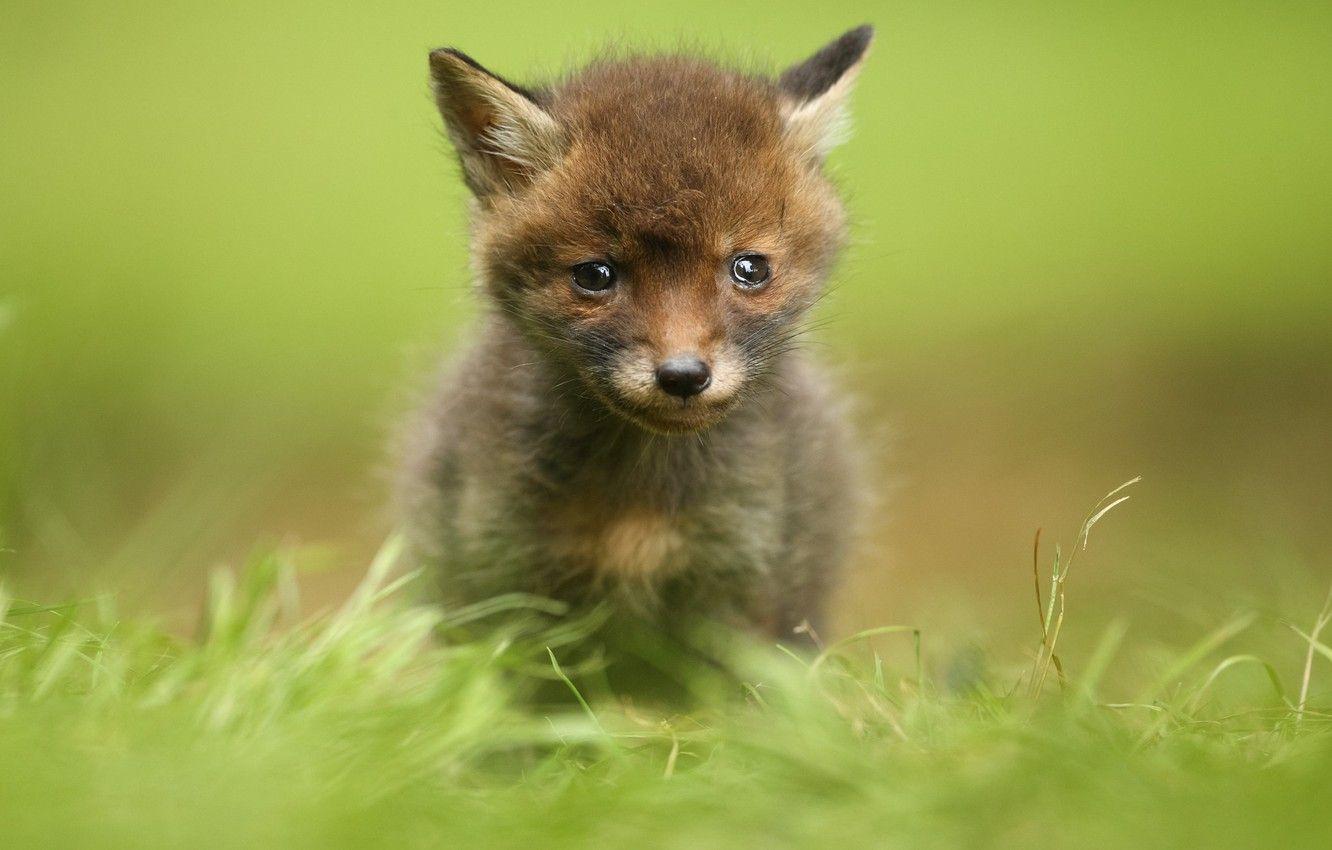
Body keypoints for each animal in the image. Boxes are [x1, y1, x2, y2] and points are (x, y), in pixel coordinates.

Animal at [397, 26, 874, 642]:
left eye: (749, 268)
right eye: (595, 275)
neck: (641, 494)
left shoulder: (748, 577)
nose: (684, 375)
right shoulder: (504, 576)